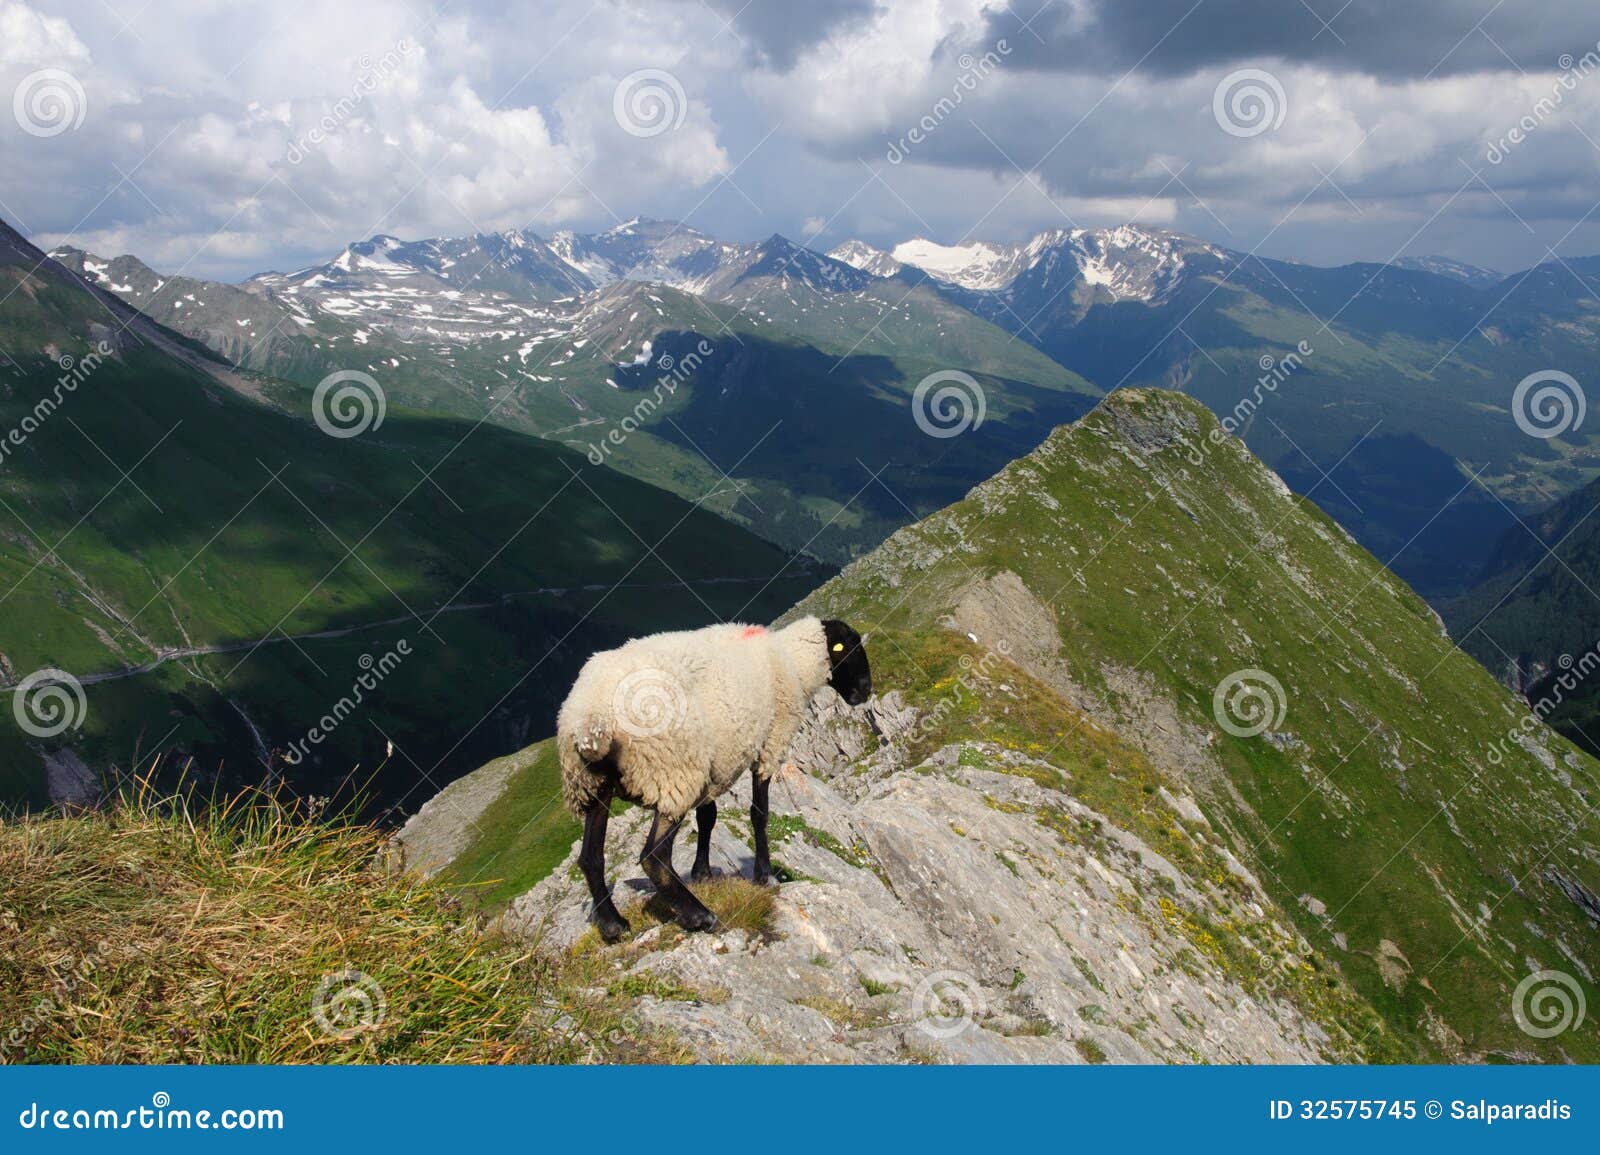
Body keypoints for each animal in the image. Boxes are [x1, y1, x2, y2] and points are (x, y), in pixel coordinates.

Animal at [557, 616, 872, 941]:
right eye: (850, 646)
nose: (866, 690)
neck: (792, 662)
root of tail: (591, 722)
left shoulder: (714, 766)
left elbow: (707, 818)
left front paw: (702, 873)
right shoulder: (769, 746)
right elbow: (759, 814)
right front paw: (764, 876)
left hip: (593, 784)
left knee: (591, 856)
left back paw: (612, 924)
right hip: (674, 772)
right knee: (654, 856)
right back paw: (699, 915)